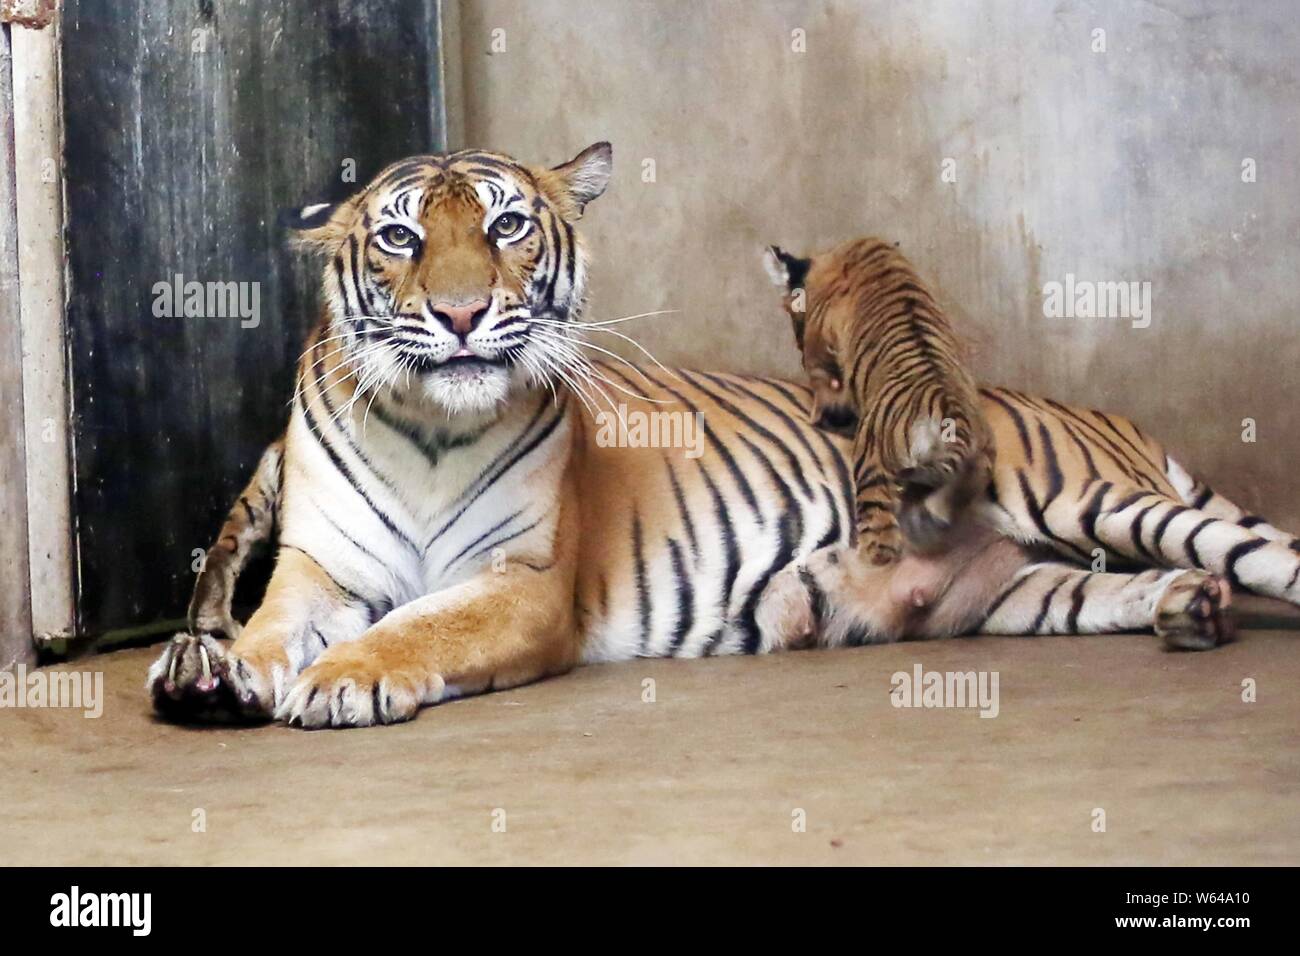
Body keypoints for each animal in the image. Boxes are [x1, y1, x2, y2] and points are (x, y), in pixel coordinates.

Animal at [762, 237, 994, 568]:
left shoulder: (820, 352)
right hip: (975, 465)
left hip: (873, 463)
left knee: (881, 541)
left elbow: (824, 382)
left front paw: (820, 416)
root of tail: (953, 417)